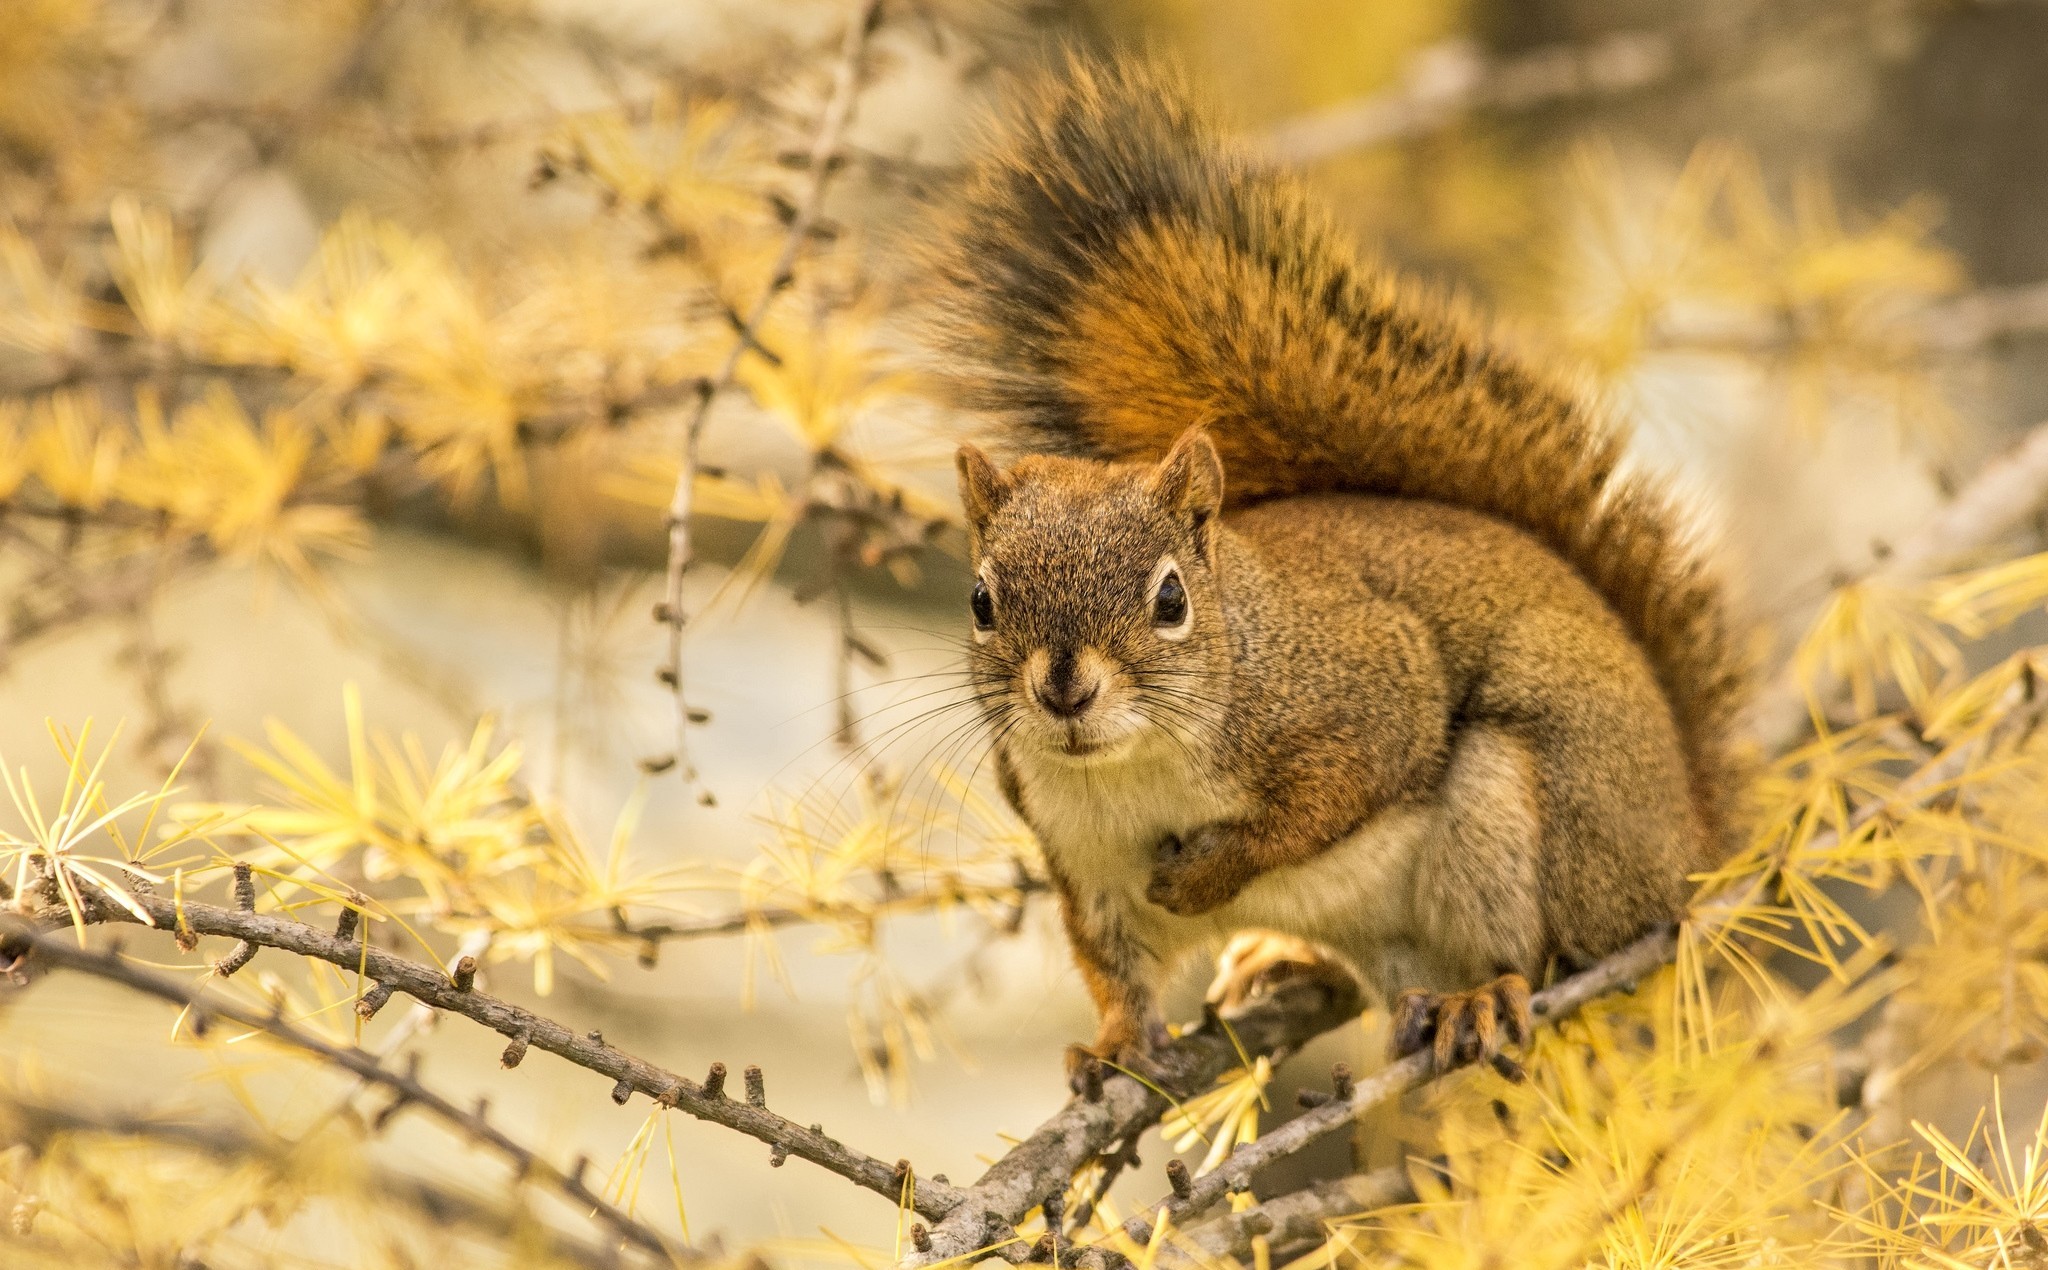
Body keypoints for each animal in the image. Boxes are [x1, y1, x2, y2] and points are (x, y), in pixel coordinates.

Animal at [921, 56, 1750, 1085]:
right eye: (982, 600)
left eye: (1170, 598)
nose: (1064, 691)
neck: (1133, 767)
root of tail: (1691, 845)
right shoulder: (1085, 865)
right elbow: (1117, 970)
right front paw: (1115, 1050)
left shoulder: (1360, 691)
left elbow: (1333, 792)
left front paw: (1217, 870)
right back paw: (1283, 959)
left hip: (1527, 820)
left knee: (1539, 950)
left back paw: (1483, 997)